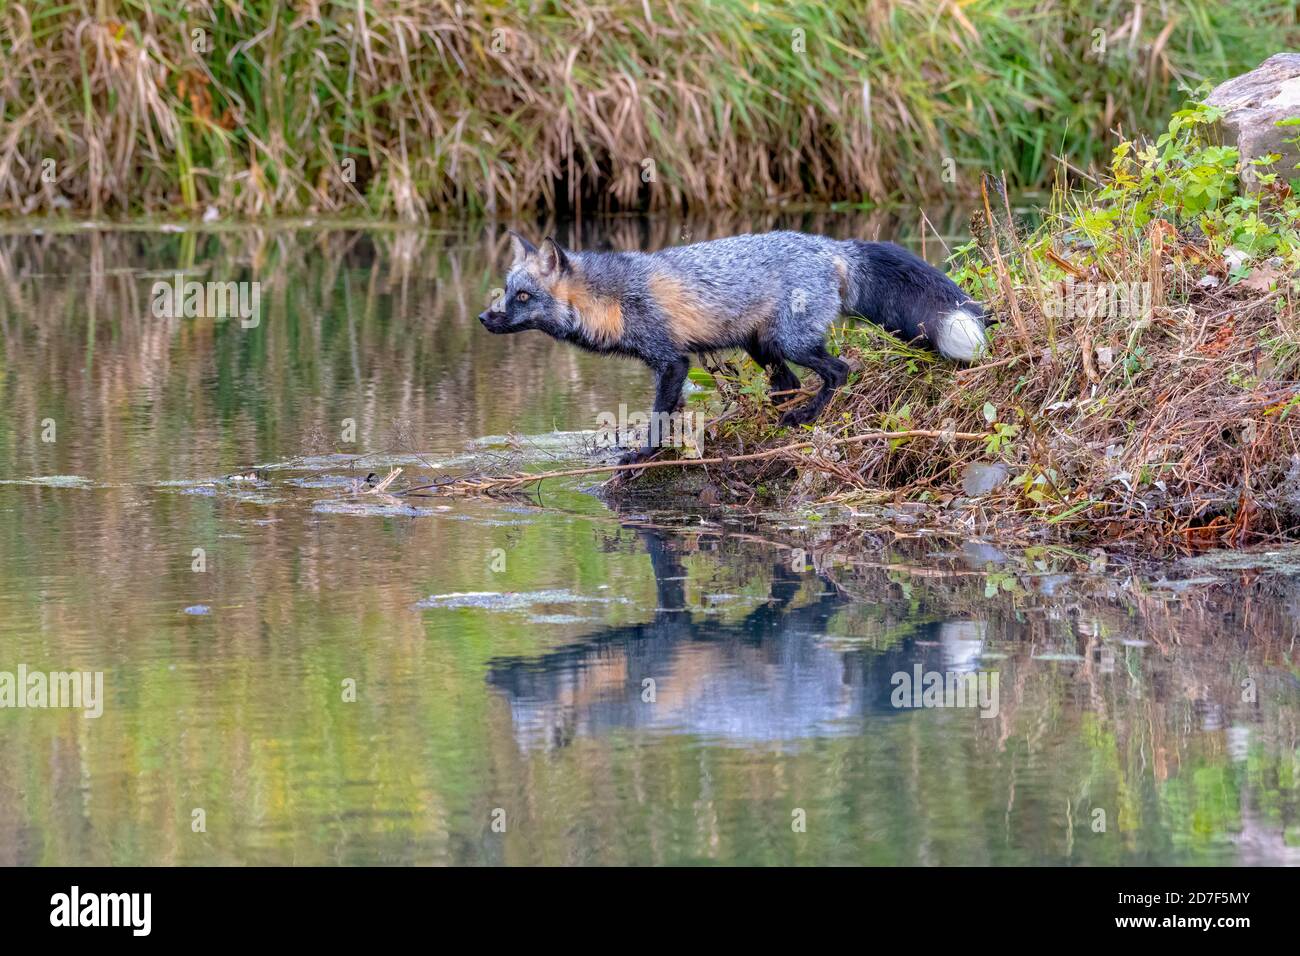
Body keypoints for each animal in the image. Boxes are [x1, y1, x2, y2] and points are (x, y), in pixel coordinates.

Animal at [478, 230, 989, 463]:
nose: (484, 319)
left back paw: (807, 416)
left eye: (522, 297)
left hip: (790, 342)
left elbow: (660, 418)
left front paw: (645, 454)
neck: (614, 297)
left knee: (839, 371)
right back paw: (785, 418)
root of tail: (830, 246)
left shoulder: (672, 361)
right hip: (763, 347)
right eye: (507, 292)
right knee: (789, 383)